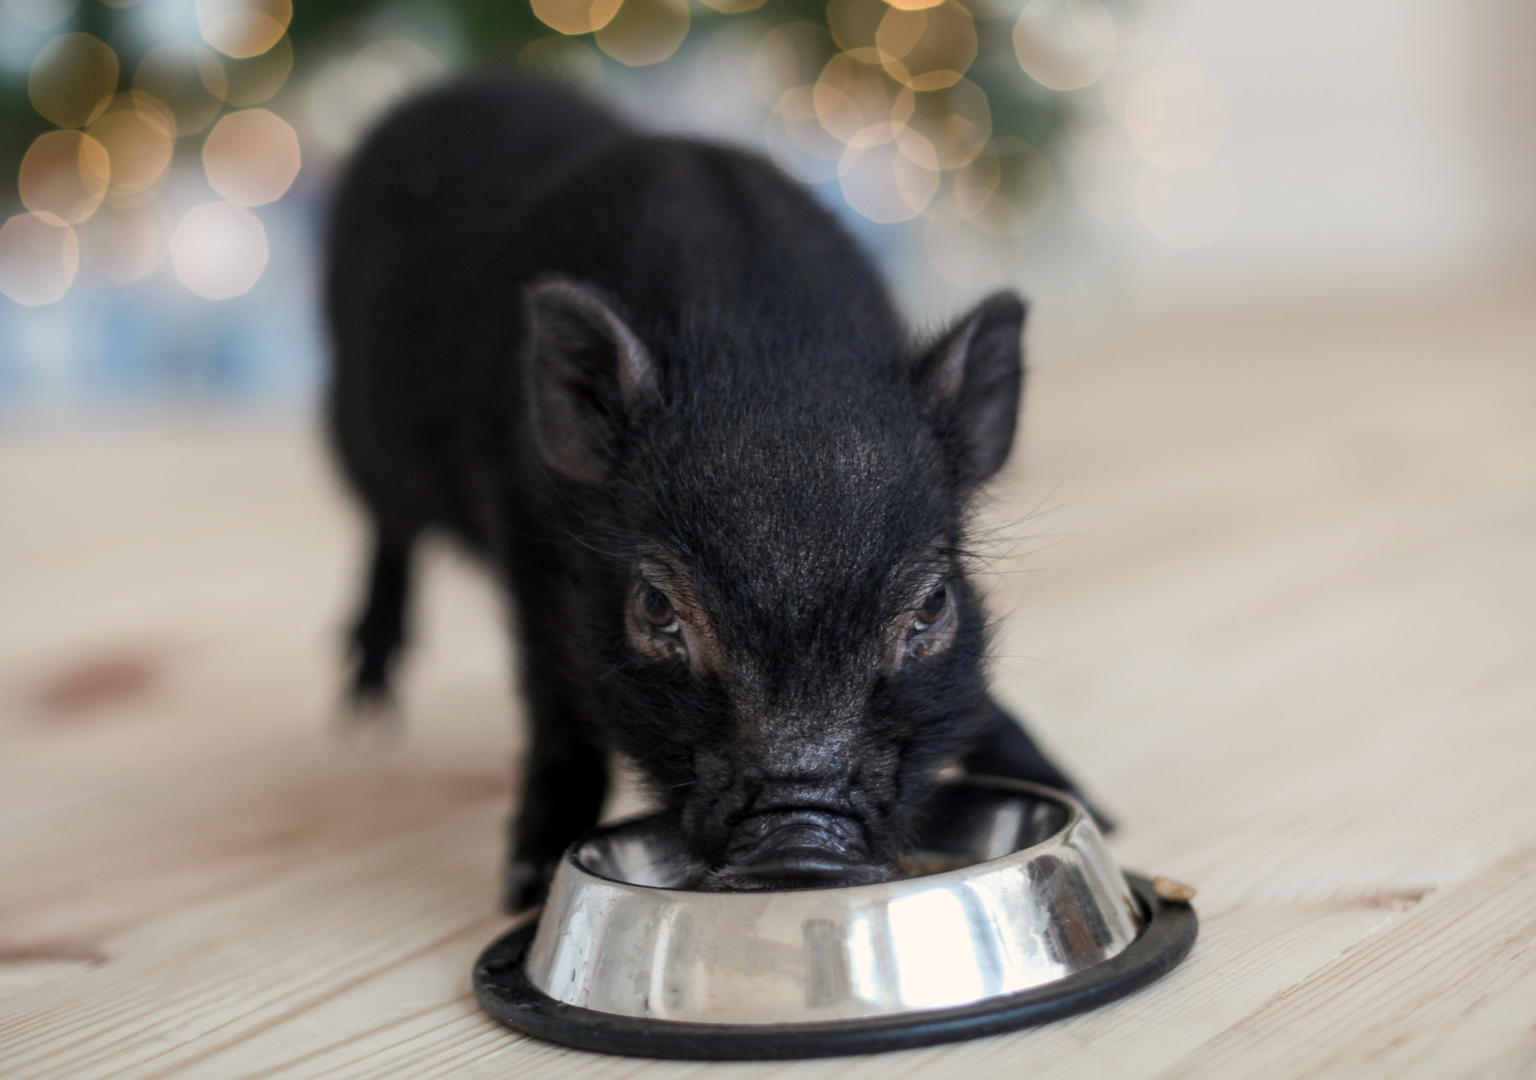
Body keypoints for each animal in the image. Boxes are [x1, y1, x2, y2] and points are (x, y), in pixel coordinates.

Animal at [326, 76, 1096, 910]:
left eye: (933, 604)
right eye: (655, 606)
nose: (800, 854)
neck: (764, 348)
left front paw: (1093, 807)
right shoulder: (525, 543)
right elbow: (556, 711)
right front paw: (524, 889)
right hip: (354, 436)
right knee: (387, 530)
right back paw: (365, 709)